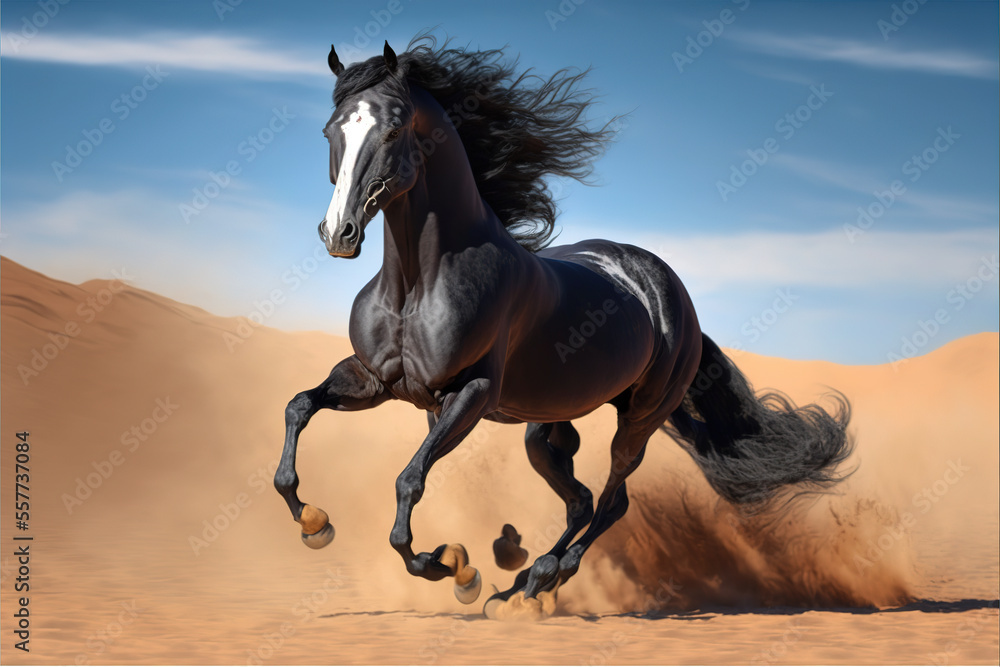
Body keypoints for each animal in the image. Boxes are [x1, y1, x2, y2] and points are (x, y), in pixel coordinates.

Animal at [273, 36, 853, 618]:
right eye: (330, 130)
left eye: (392, 129)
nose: (339, 233)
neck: (418, 285)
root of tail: (669, 290)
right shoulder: (375, 381)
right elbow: (299, 407)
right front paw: (314, 522)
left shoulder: (470, 394)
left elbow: (409, 480)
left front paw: (449, 569)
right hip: (545, 428)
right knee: (580, 501)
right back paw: (515, 583)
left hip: (640, 417)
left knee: (612, 498)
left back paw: (541, 578)